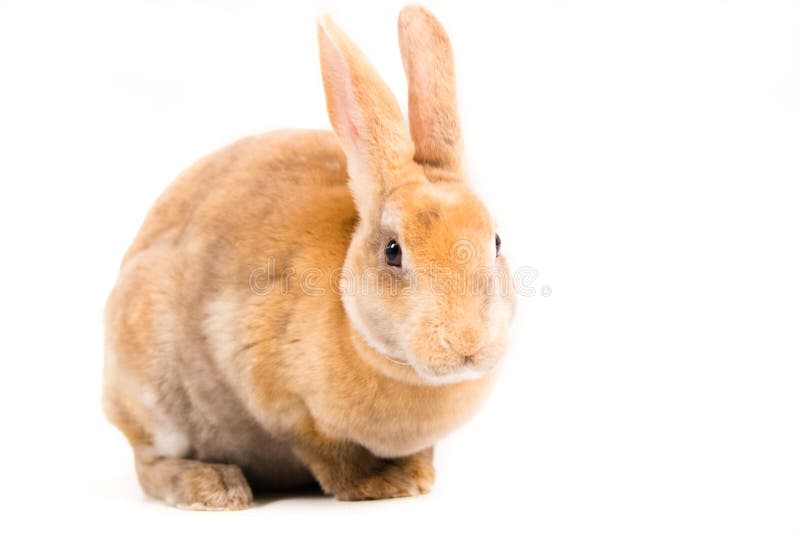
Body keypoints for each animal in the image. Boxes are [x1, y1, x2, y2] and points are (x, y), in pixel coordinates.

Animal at [103, 5, 515, 510]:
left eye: (496, 241)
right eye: (393, 251)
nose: (468, 344)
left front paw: (417, 476)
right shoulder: (283, 401)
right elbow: (327, 453)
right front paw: (380, 485)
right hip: (151, 390)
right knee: (148, 465)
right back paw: (213, 486)